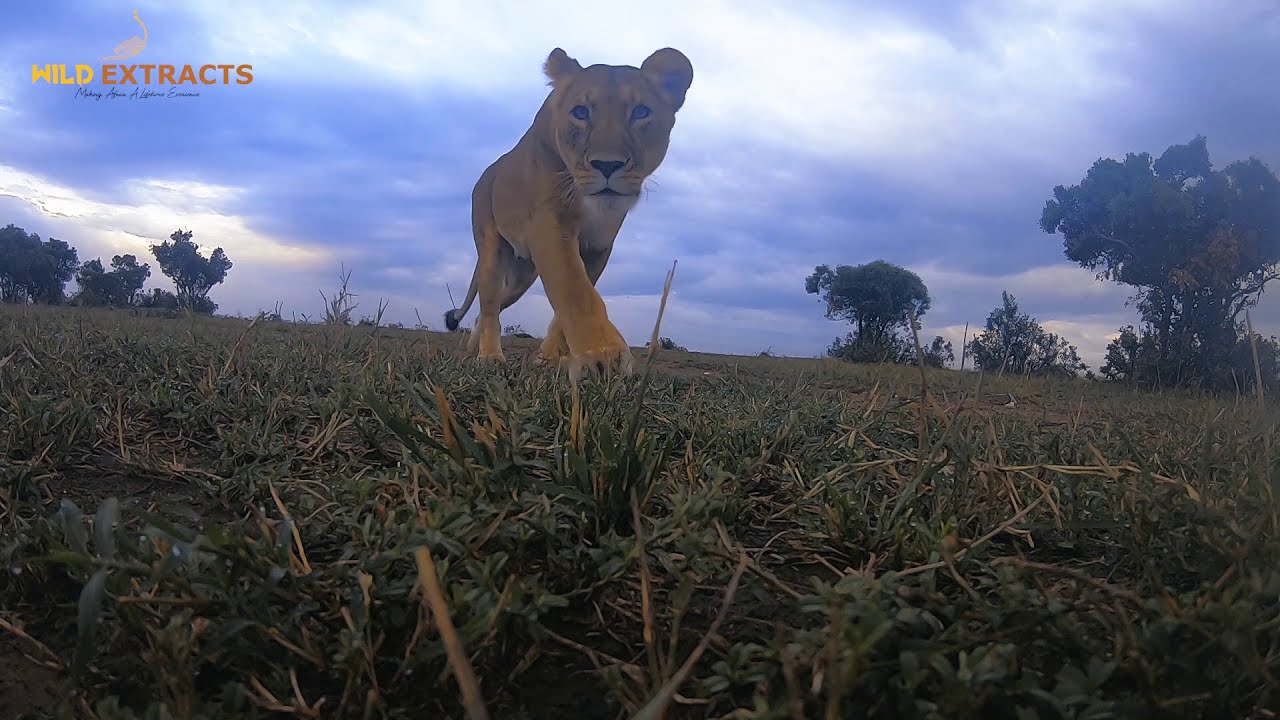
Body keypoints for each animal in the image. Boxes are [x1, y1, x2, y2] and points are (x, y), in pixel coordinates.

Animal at [441, 46, 694, 382]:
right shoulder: (549, 223)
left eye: (641, 112)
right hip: (491, 249)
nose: (607, 165)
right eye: (581, 112)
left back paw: (474, 347)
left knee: (490, 306)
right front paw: (604, 356)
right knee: (490, 300)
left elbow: (571, 303)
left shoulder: (598, 246)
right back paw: (490, 357)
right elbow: (574, 290)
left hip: (522, 276)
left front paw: (549, 360)